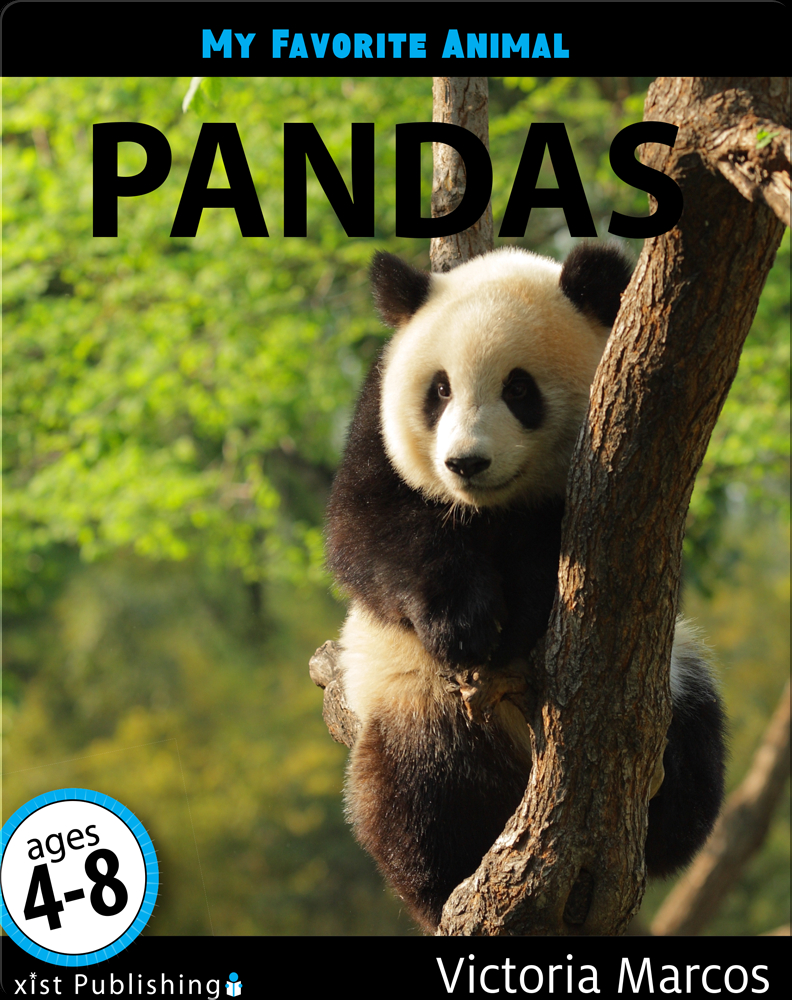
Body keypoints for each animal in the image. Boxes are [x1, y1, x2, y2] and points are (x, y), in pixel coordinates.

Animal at [326, 243, 726, 932]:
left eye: (519, 389)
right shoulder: (374, 429)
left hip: (673, 673)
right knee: (419, 793)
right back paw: (443, 882)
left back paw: (667, 800)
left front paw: (517, 614)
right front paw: (466, 623)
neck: (492, 507)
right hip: (414, 700)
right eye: (439, 390)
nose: (466, 463)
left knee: (695, 748)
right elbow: (368, 529)